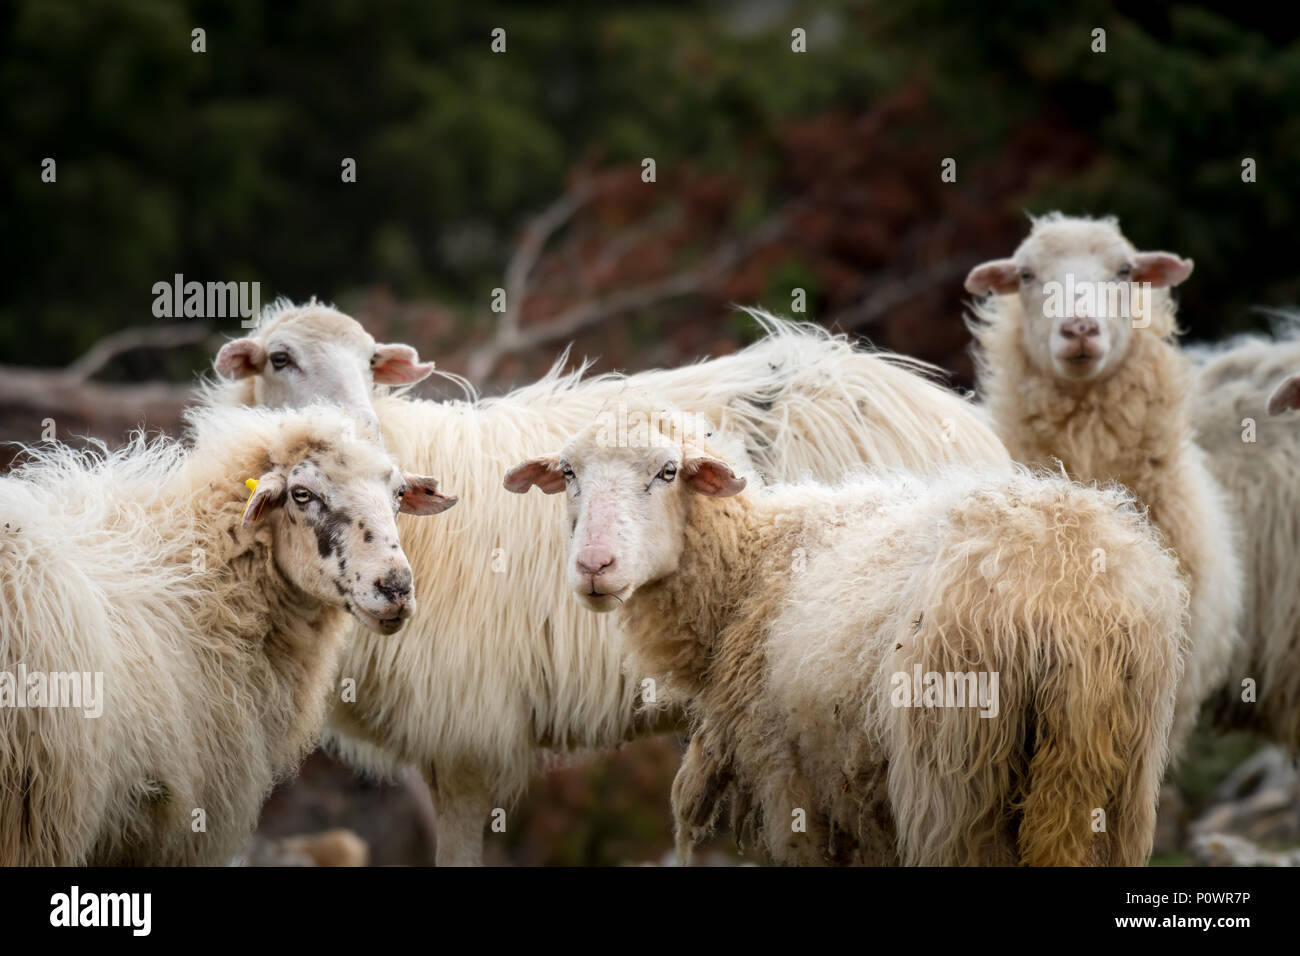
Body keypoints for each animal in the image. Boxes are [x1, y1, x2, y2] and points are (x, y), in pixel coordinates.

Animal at [504, 401, 1188, 866]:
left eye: (668, 472)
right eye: (568, 473)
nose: (594, 566)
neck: (750, 567)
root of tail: (1066, 596)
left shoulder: (790, 783)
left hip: (954, 778)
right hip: (1106, 778)